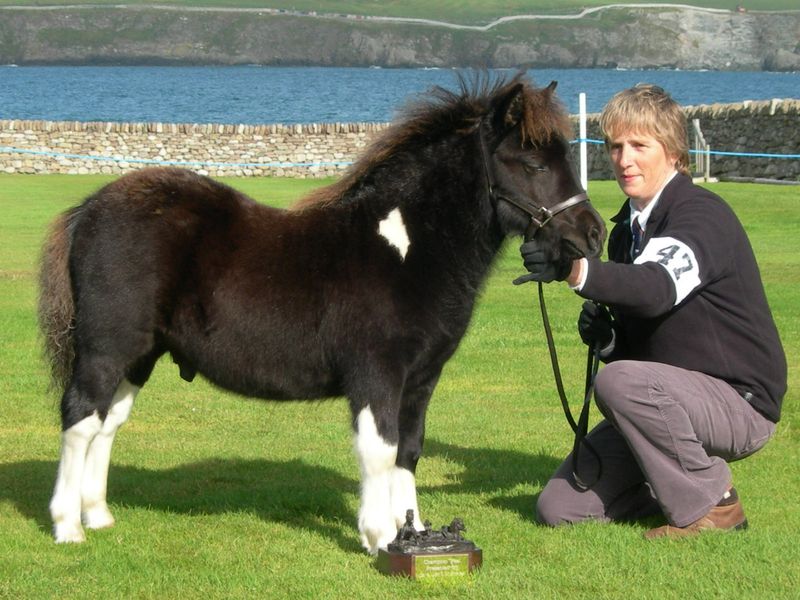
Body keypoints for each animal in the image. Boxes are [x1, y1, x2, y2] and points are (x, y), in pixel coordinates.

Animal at [38, 73, 606, 554]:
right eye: (532, 164)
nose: (593, 232)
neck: (405, 248)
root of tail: (88, 210)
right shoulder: (376, 375)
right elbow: (379, 449)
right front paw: (380, 538)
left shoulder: (421, 380)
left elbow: (409, 449)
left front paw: (415, 531)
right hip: (106, 348)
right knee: (80, 418)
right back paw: (67, 527)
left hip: (141, 354)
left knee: (107, 423)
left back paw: (98, 516)